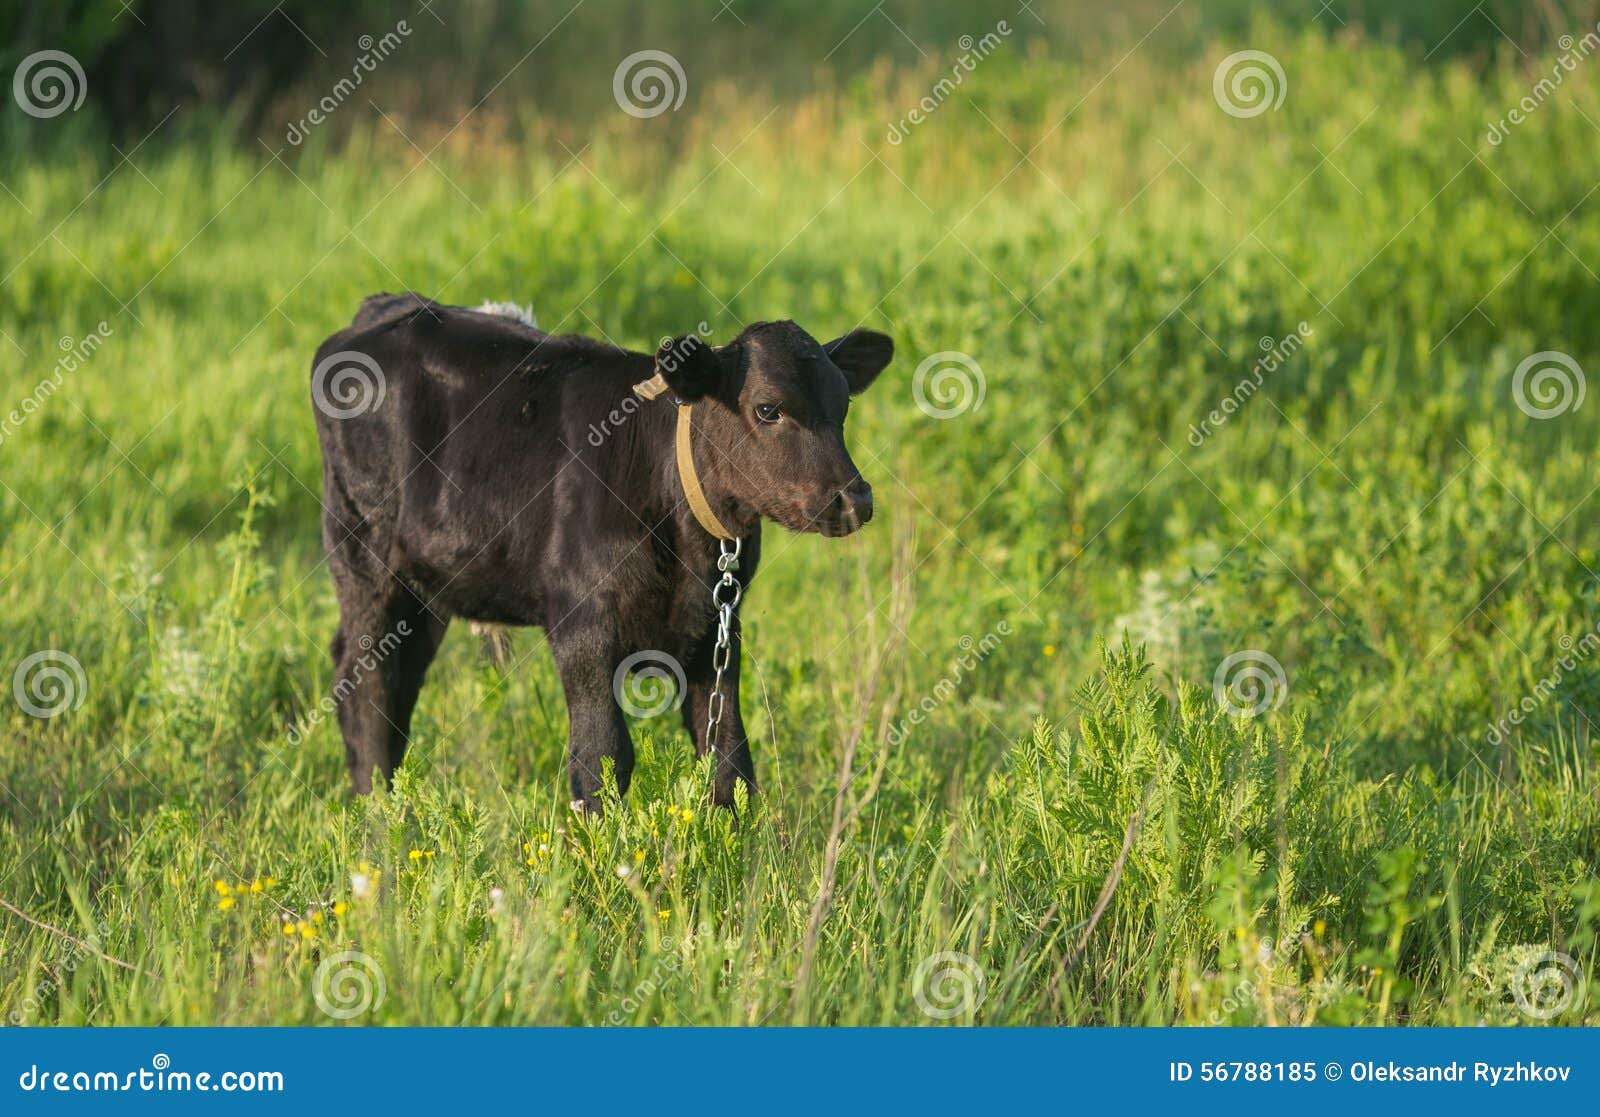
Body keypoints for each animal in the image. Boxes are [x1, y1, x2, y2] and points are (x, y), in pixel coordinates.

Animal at [310, 293, 893, 809]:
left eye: (843, 404)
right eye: (768, 408)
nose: (855, 499)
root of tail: (384, 309)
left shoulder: (717, 628)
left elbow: (729, 759)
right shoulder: (582, 626)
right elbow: (601, 760)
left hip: (427, 589)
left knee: (399, 682)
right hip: (364, 558)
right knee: (364, 686)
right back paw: (376, 816)